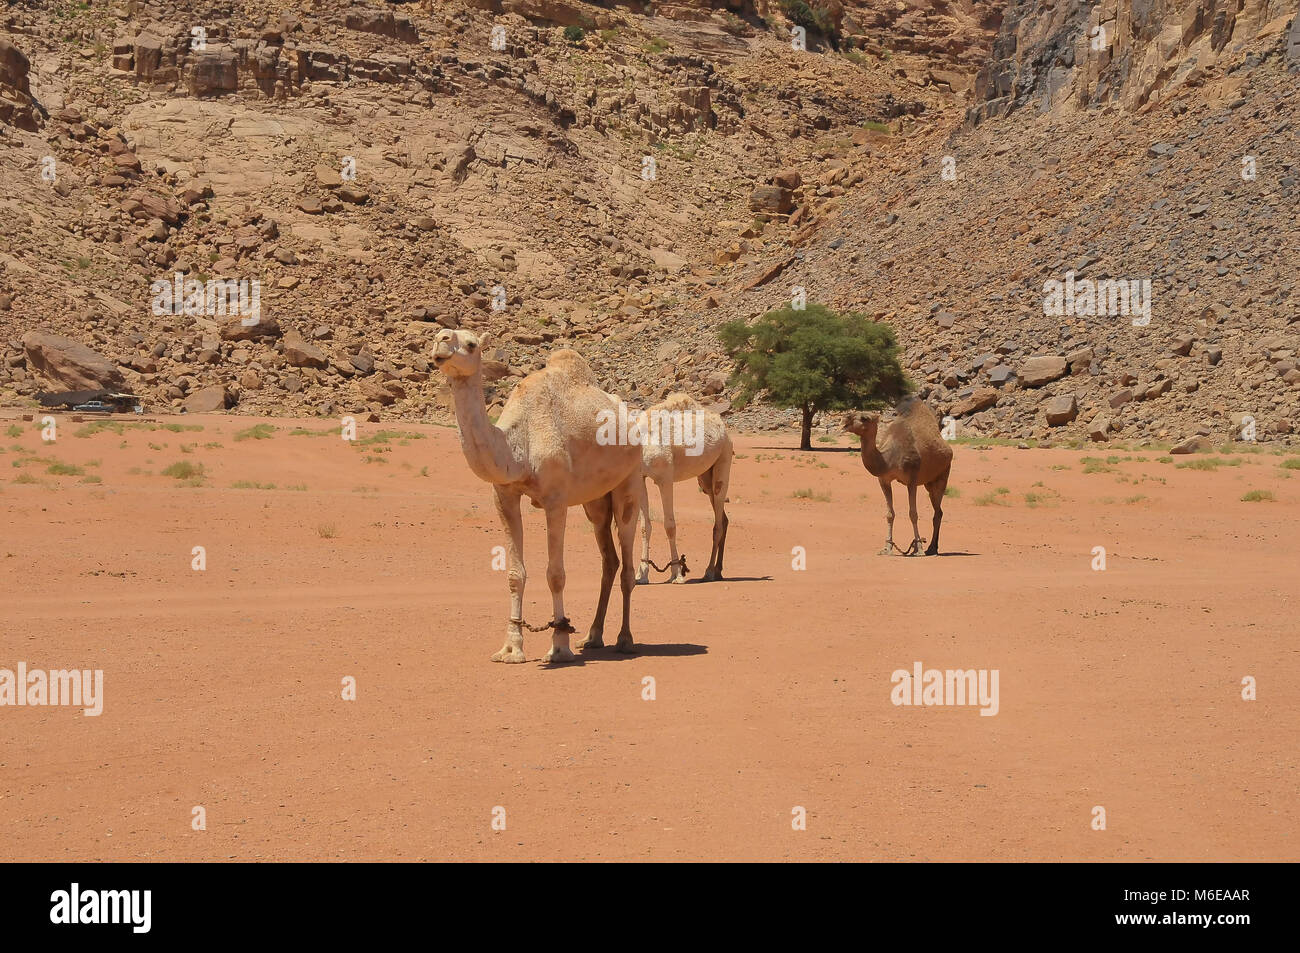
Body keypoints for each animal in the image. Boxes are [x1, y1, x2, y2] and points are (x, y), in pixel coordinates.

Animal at [433, 328, 643, 663]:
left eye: (471, 344)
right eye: (439, 335)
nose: (441, 340)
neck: (518, 447)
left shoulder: (556, 500)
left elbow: (555, 573)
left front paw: (559, 647)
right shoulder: (504, 495)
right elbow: (514, 574)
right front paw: (511, 648)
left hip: (630, 481)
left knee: (627, 559)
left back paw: (624, 639)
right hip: (595, 500)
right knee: (609, 559)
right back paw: (593, 636)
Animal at [634, 393, 734, 584]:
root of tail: (725, 430)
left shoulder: (665, 478)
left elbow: (669, 525)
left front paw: (677, 574)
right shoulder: (639, 478)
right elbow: (644, 527)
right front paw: (641, 575)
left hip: (724, 460)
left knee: (717, 524)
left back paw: (709, 572)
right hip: (705, 478)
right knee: (723, 519)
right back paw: (718, 571)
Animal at [843, 396, 953, 556]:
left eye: (865, 418)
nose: (846, 419)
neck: (888, 459)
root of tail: (948, 449)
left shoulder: (912, 479)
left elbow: (913, 513)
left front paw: (919, 548)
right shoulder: (883, 480)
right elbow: (890, 514)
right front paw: (887, 547)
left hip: (942, 475)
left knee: (938, 512)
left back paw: (932, 548)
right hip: (929, 482)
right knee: (938, 511)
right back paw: (929, 547)